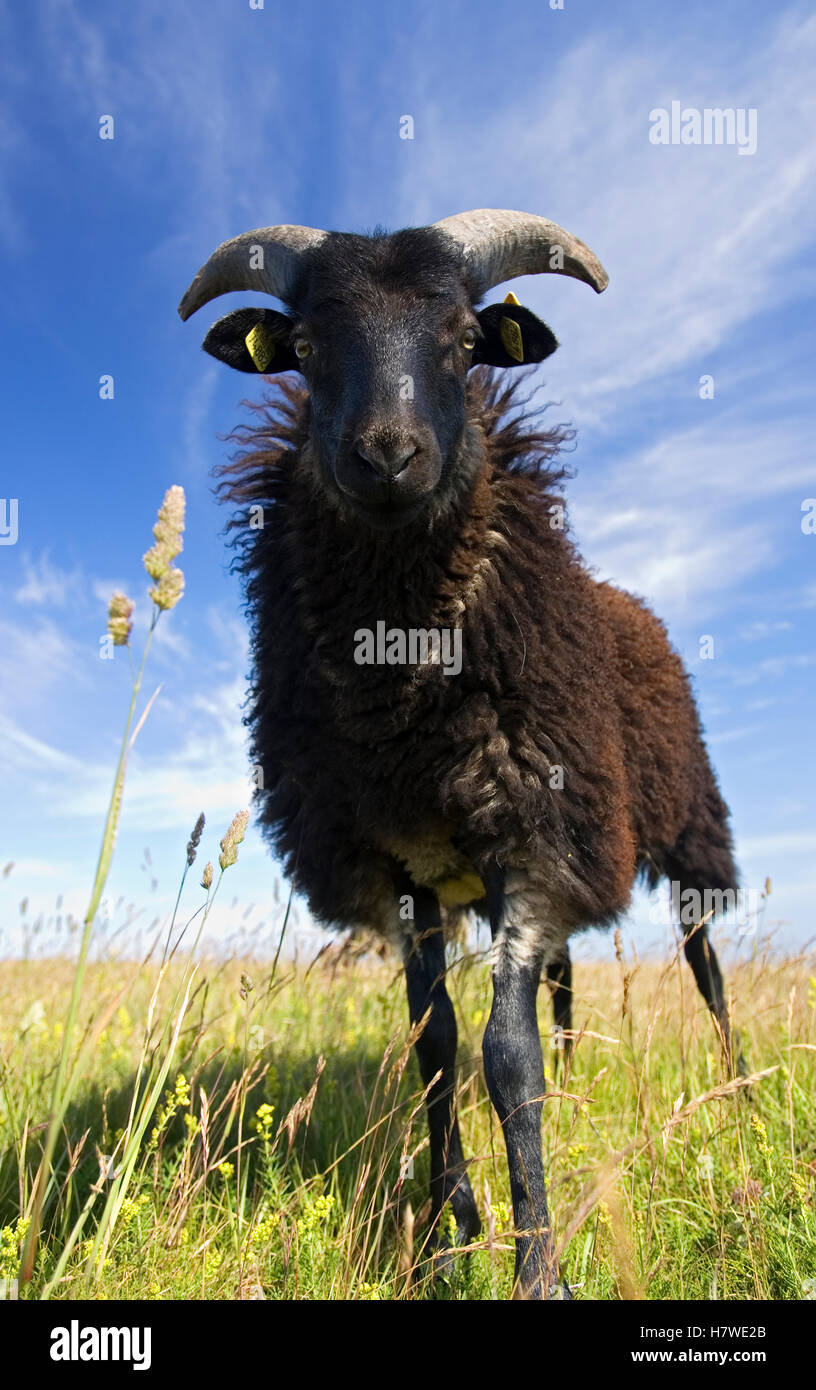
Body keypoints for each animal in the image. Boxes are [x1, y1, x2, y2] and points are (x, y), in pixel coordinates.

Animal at [178, 209, 740, 1299]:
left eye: (465, 340)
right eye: (305, 348)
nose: (387, 456)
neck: (402, 701)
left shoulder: (530, 836)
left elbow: (505, 1054)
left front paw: (538, 1266)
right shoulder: (405, 870)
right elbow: (434, 1044)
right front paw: (445, 1238)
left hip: (687, 827)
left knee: (706, 966)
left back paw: (741, 1093)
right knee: (567, 980)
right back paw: (582, 1087)